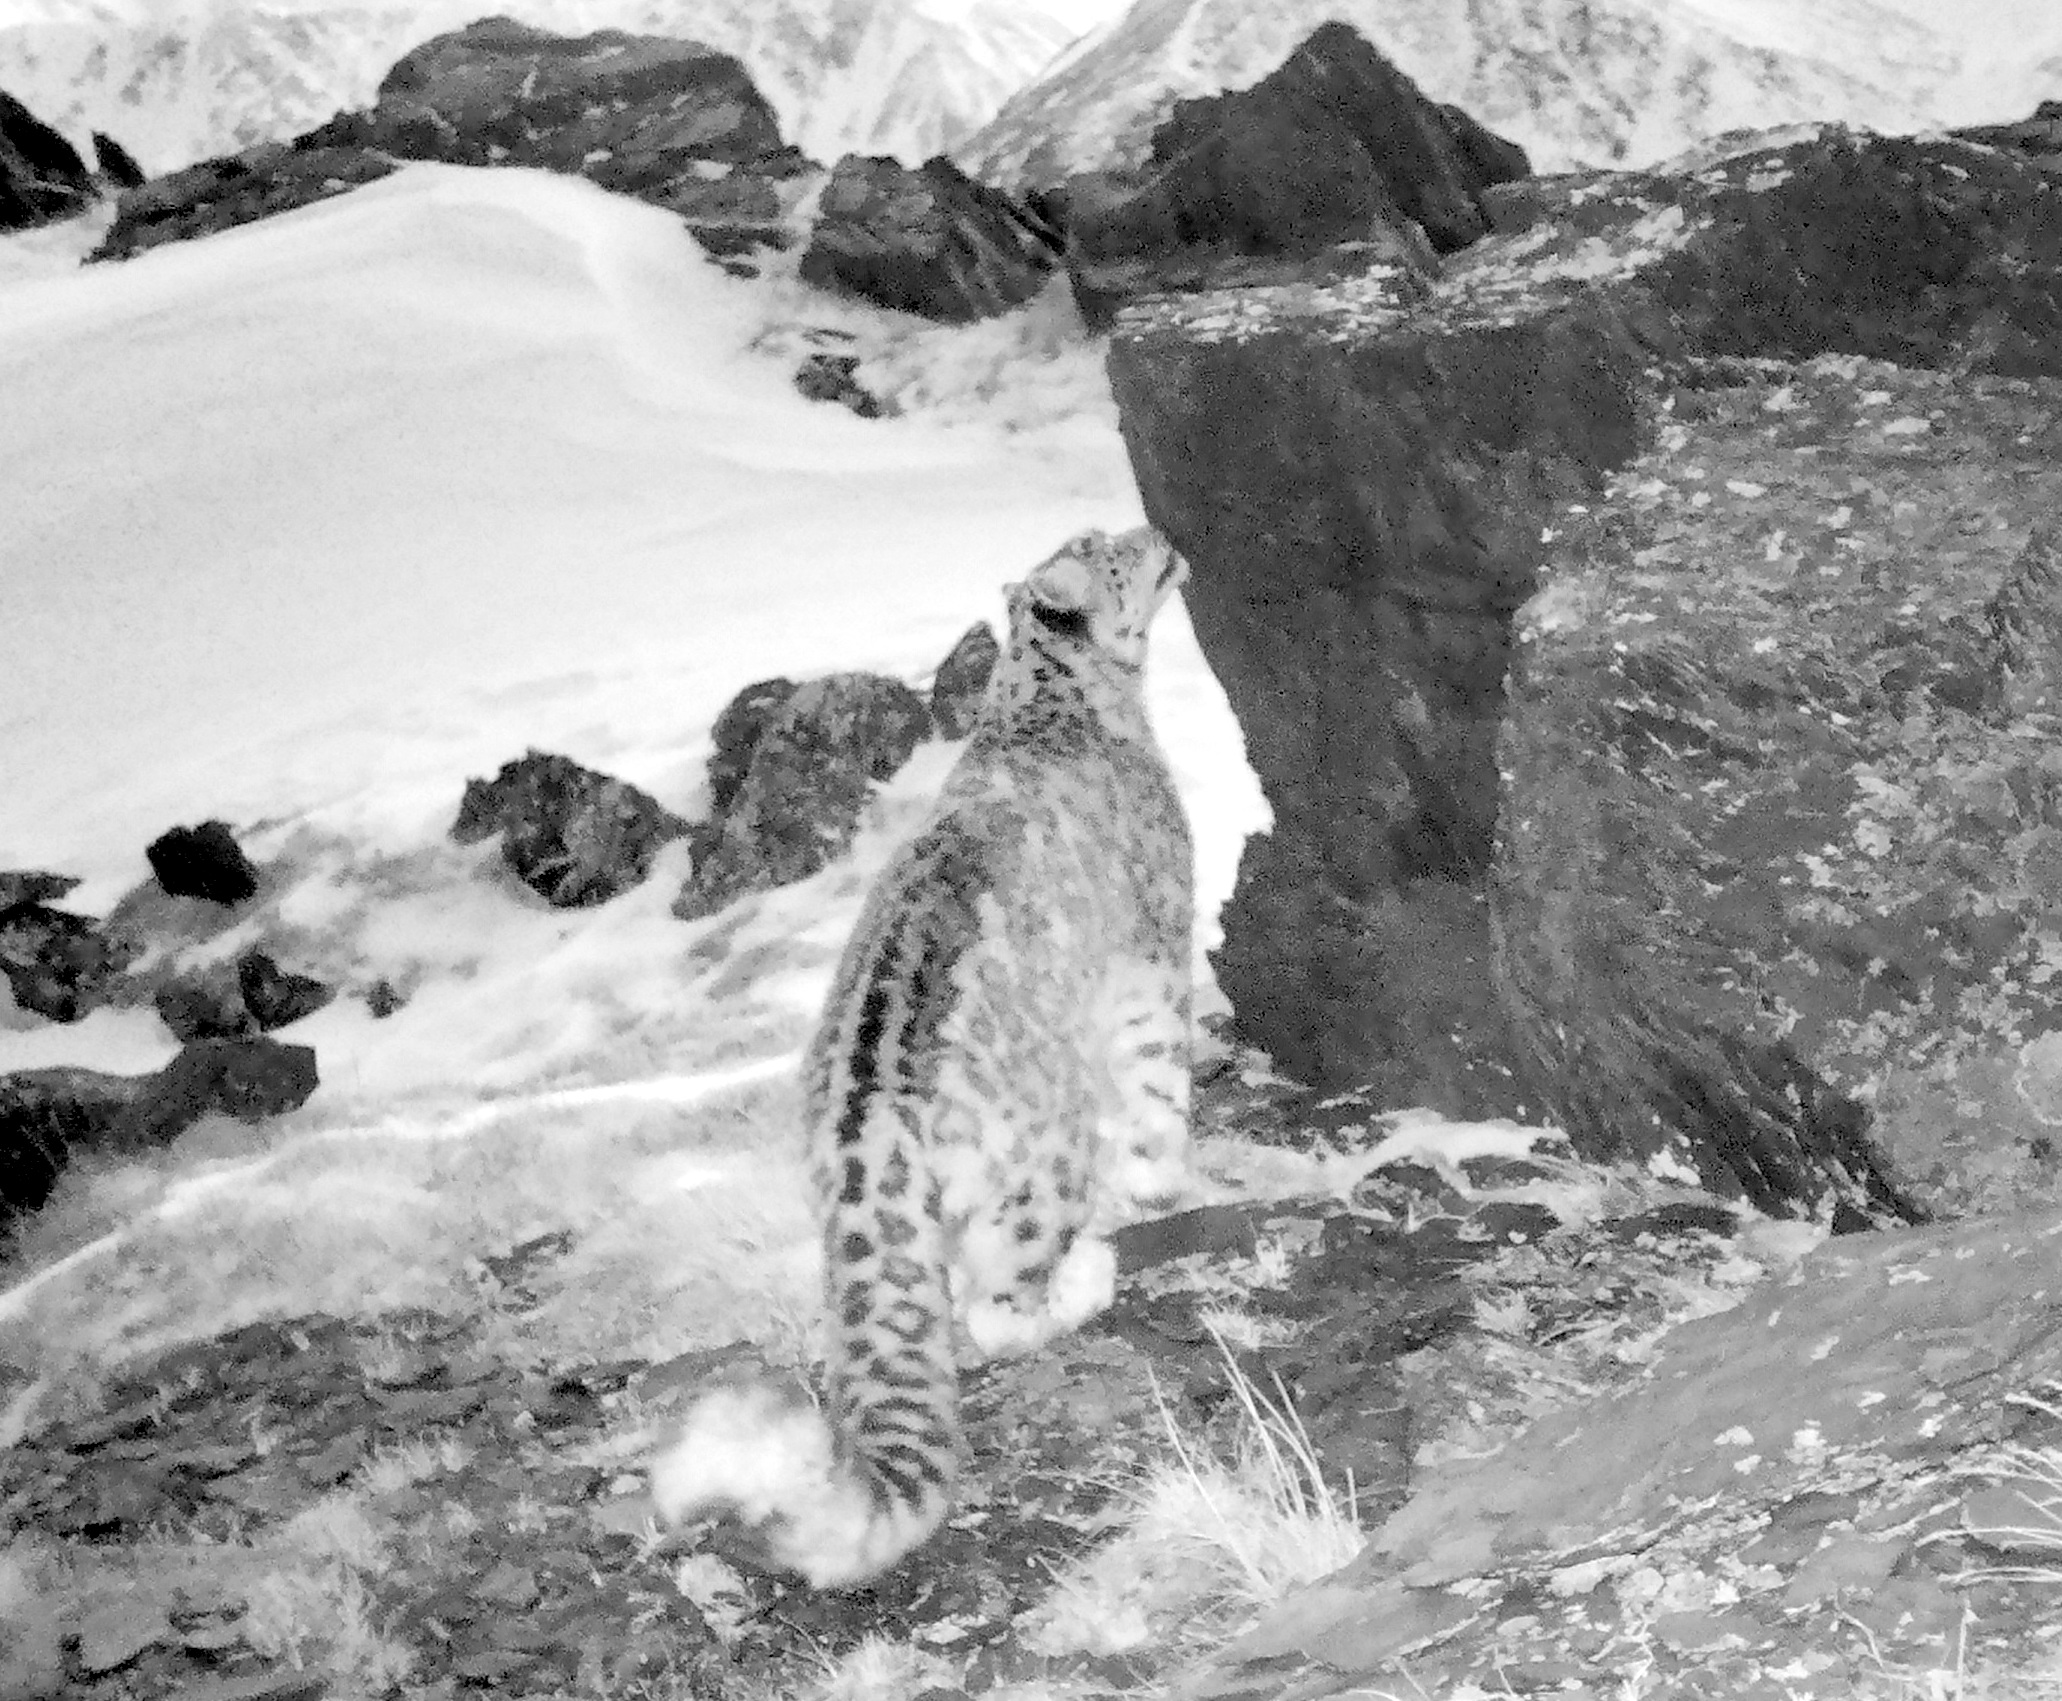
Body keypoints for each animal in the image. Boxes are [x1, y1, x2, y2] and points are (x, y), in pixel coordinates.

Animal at [649, 525, 1196, 1588]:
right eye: (1110, 552)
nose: (1158, 536)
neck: (1057, 695)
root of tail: (865, 1124)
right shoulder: (1156, 950)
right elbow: (1161, 1080)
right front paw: (1173, 1172)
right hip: (1043, 1162)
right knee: (997, 1304)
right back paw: (1085, 1278)